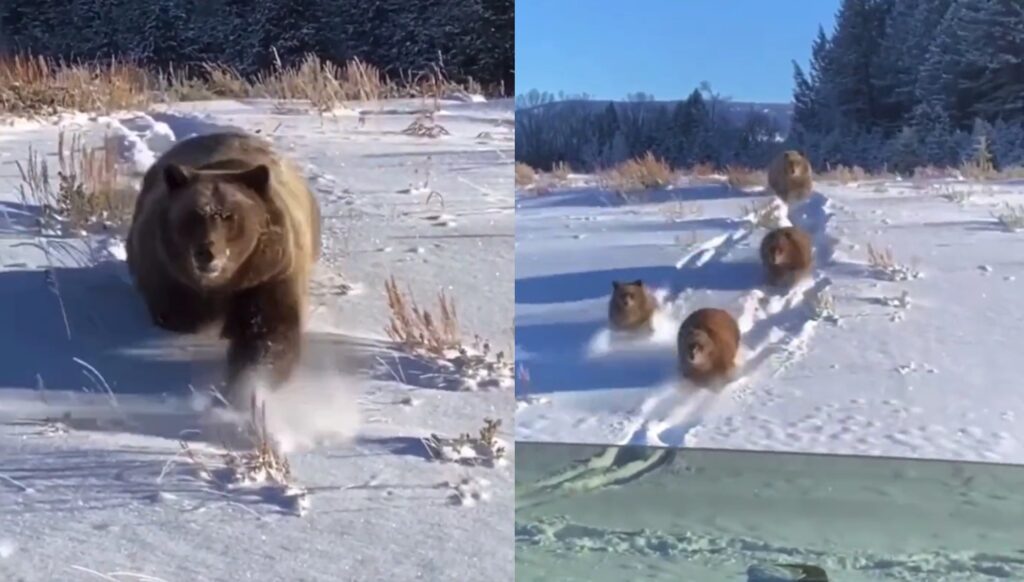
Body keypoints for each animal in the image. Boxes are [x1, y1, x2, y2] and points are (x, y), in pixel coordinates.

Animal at [126, 131, 322, 403]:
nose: (206, 252)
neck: (223, 283)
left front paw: (249, 386)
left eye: (229, 216)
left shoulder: (268, 273)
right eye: (193, 215)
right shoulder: (170, 276)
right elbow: (180, 316)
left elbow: (269, 332)